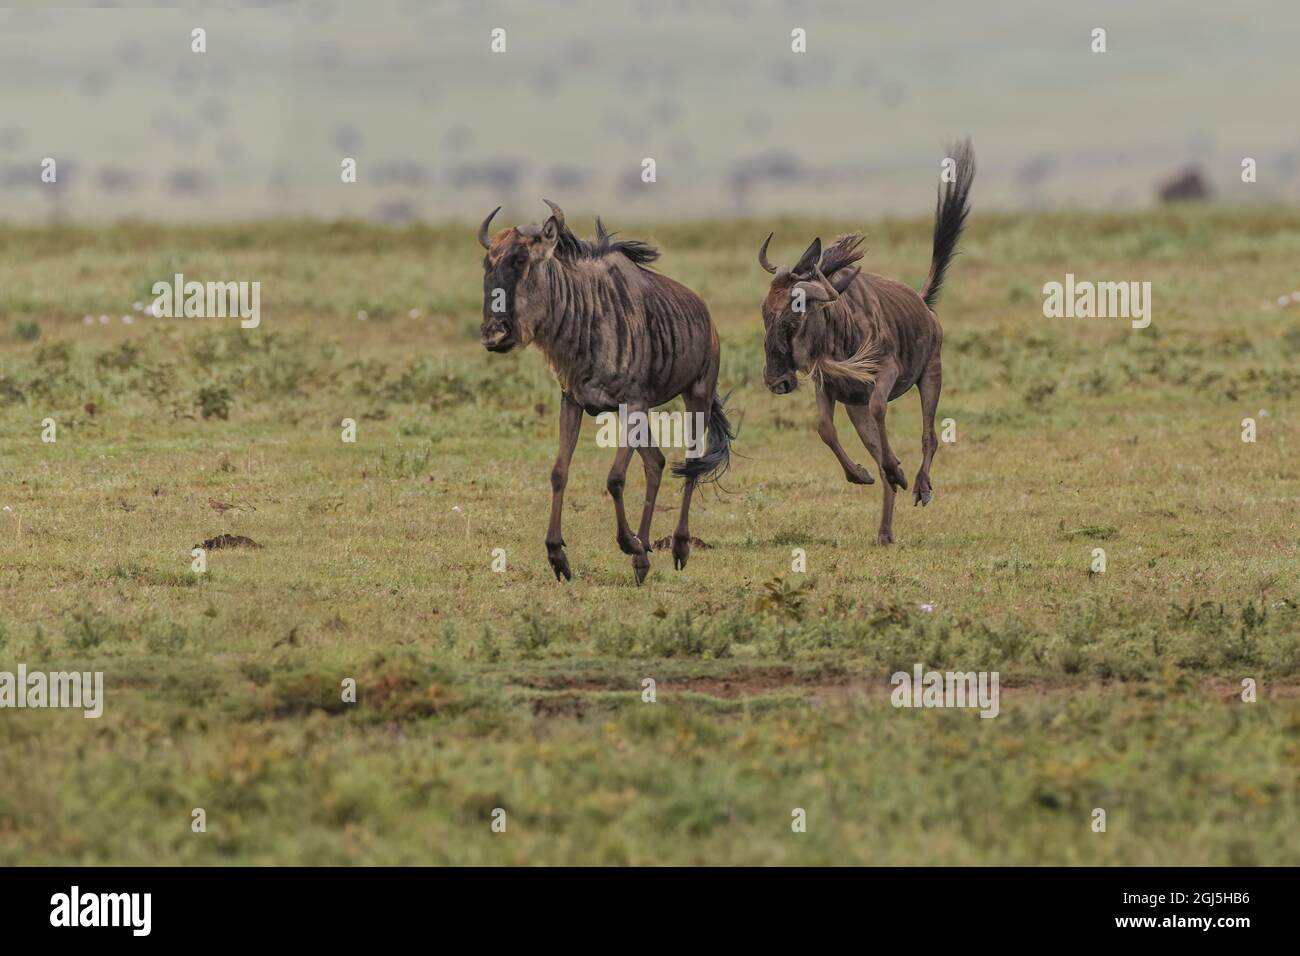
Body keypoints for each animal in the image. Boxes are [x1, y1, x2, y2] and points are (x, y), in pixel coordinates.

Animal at [478, 200, 733, 585]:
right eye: (486, 263)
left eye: (521, 260)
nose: (494, 333)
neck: (583, 317)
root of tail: (707, 317)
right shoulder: (573, 401)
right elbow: (559, 472)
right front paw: (557, 556)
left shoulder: (633, 403)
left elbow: (614, 478)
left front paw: (628, 543)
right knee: (656, 463)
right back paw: (643, 555)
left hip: (697, 395)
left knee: (690, 462)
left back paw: (677, 547)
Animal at [757, 141, 974, 544]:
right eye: (765, 313)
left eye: (794, 317)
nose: (776, 382)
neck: (839, 331)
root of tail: (923, 303)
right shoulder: (829, 386)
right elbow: (825, 430)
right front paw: (861, 474)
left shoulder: (883, 373)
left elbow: (880, 408)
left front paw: (899, 471)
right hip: (855, 406)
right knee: (880, 454)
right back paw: (885, 527)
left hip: (931, 373)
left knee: (929, 436)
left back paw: (918, 485)